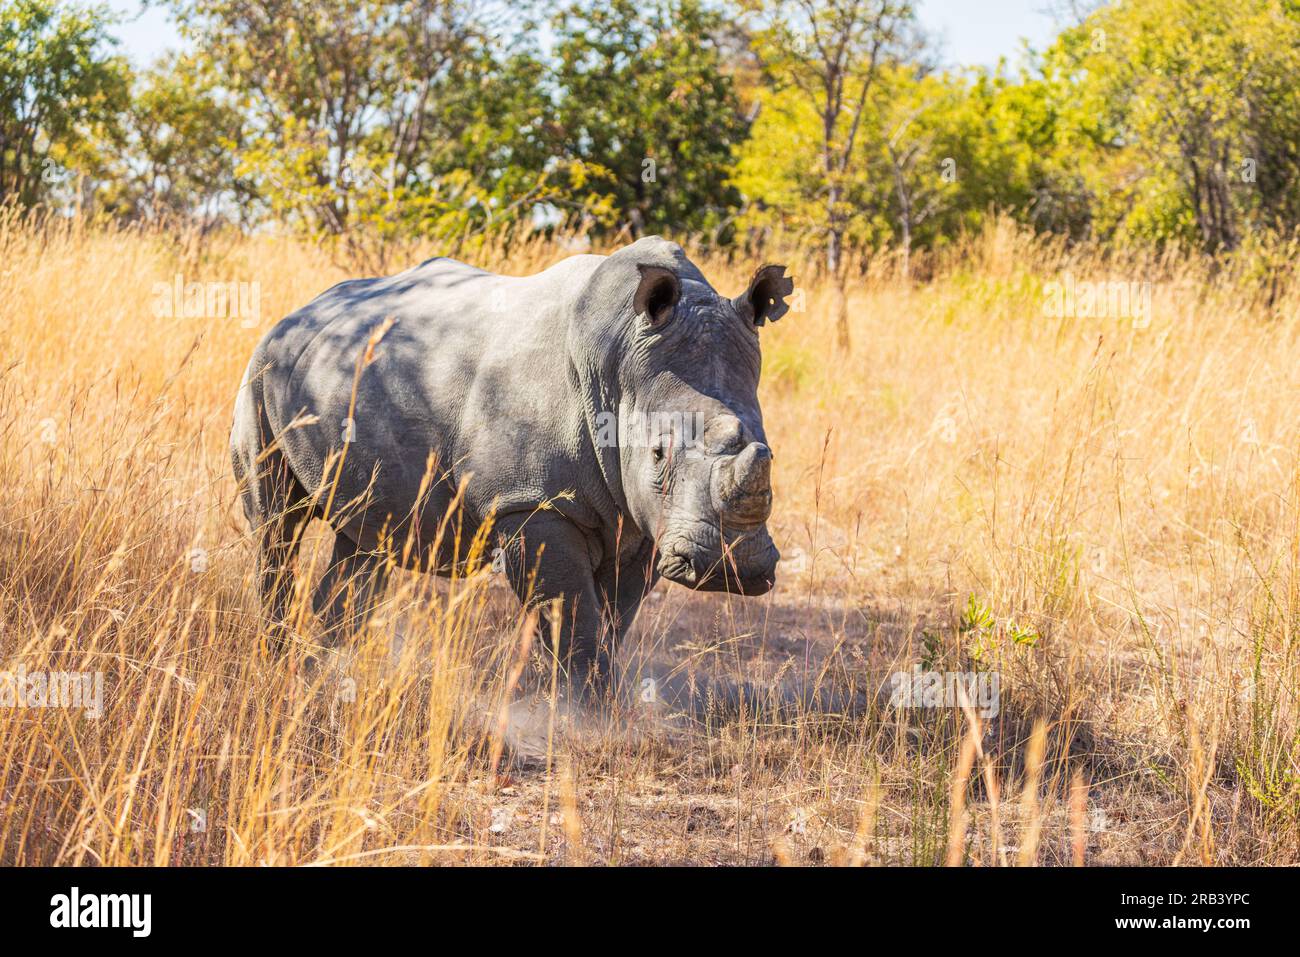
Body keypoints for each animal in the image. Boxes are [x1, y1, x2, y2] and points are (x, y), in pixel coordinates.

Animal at [230, 236, 794, 699]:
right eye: (658, 453)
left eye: (769, 450)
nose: (732, 569)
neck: (621, 370)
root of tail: (298, 311)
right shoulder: (532, 501)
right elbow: (570, 612)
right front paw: (580, 713)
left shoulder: (643, 520)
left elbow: (613, 614)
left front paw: (591, 702)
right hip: (260, 371)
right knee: (276, 527)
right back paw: (279, 660)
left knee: (365, 539)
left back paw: (323, 669)